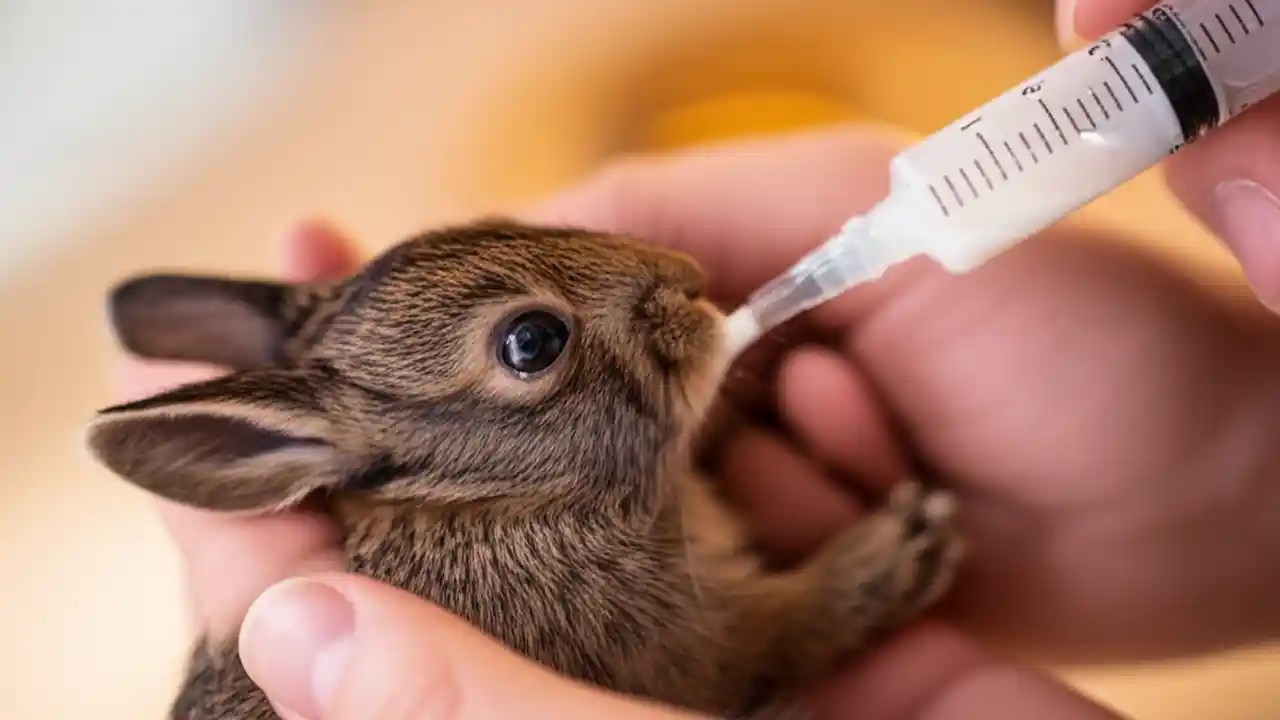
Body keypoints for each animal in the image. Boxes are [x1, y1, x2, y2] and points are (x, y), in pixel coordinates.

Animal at [87, 220, 961, 719]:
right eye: (532, 342)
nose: (690, 278)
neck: (506, 502)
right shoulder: (688, 648)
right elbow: (779, 634)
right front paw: (899, 548)